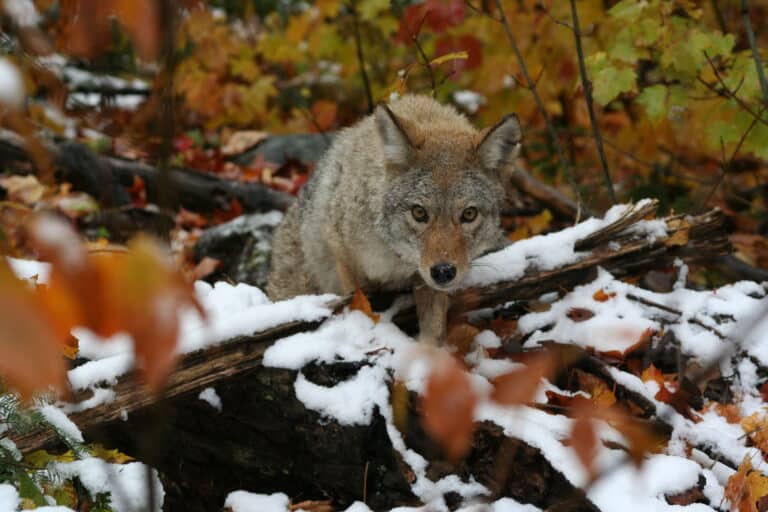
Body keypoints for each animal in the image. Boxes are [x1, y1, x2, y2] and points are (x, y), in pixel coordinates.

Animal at [267, 94, 521, 344]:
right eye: (419, 212)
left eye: (469, 214)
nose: (443, 271)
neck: (395, 255)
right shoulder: (344, 258)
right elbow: (360, 310)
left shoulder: (426, 280)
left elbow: (433, 331)